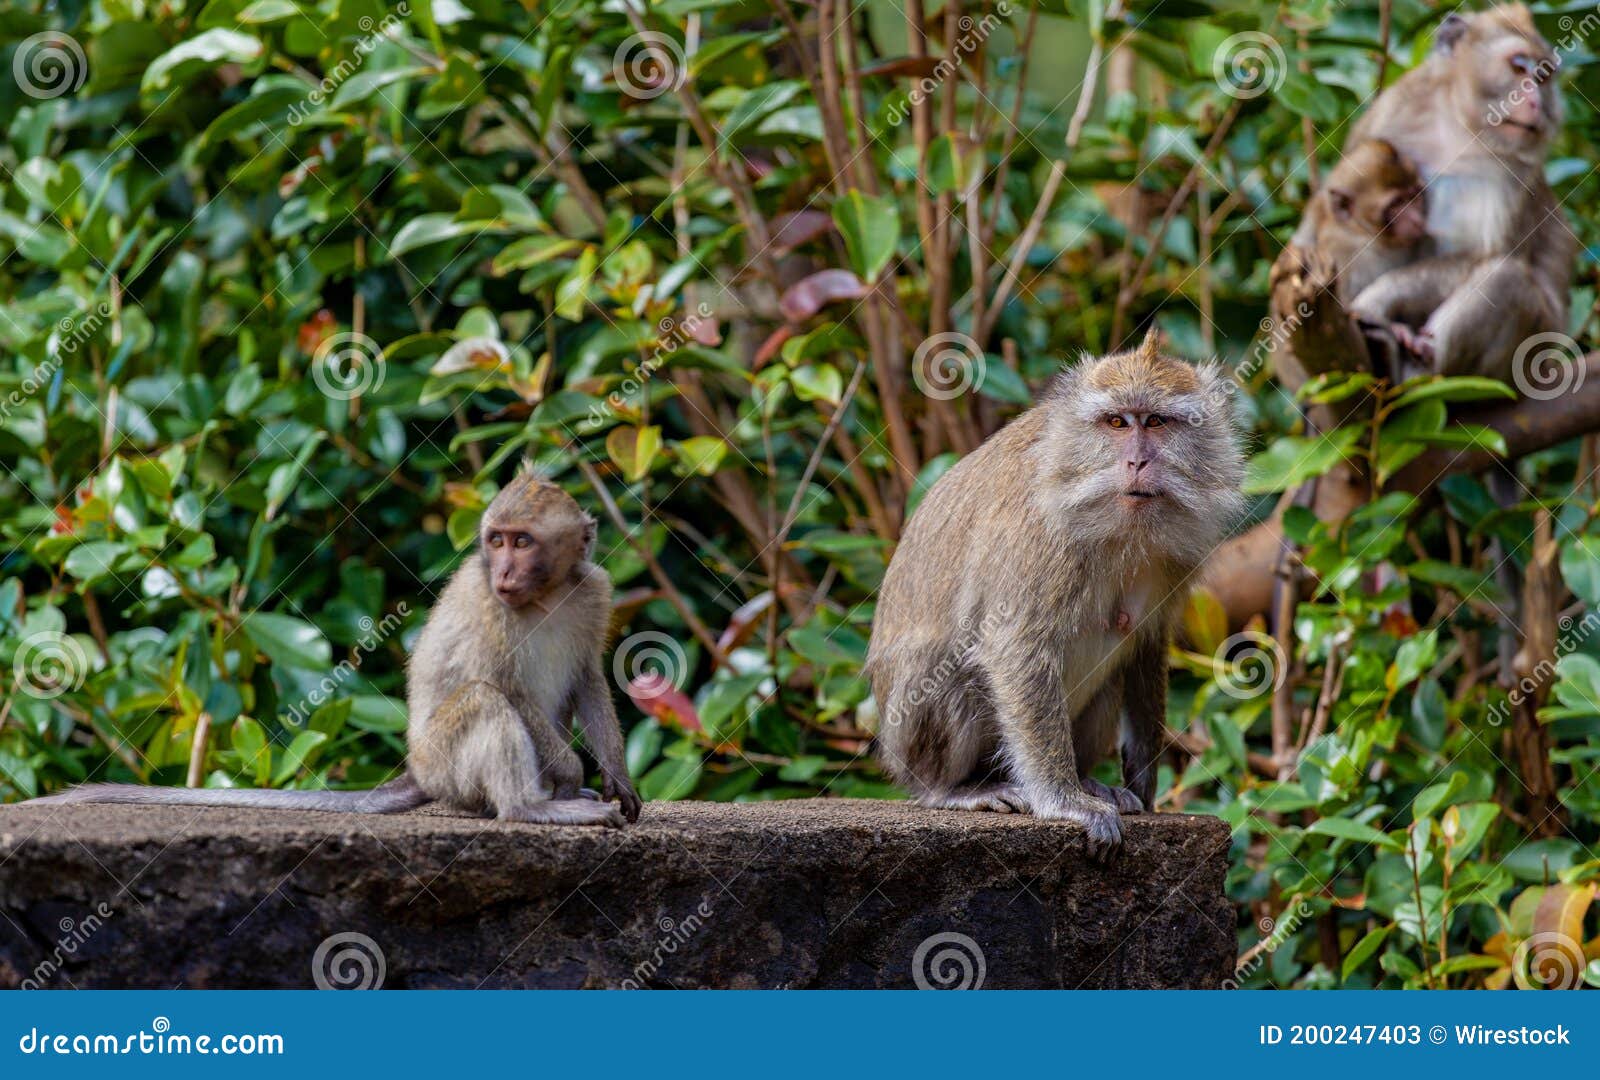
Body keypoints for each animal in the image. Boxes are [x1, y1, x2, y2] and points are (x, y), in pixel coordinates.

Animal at [27, 470, 643, 828]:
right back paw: (531, 808)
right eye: (496, 540)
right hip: (445, 767)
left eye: (523, 541)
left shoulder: (594, 591)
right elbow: (502, 684)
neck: (542, 595)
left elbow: (588, 676)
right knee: (481, 698)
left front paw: (617, 778)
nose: (506, 571)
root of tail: (418, 773)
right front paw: (572, 770)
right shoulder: (488, 602)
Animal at [865, 332, 1244, 859]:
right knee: (941, 665)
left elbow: (1146, 647)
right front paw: (1066, 803)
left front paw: (1143, 787)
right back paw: (954, 790)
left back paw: (1088, 779)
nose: (1137, 461)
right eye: (1117, 422)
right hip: (907, 740)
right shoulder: (1040, 539)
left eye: (1157, 422)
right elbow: (1014, 647)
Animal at [1345, 4, 1575, 378]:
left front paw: (1376, 299)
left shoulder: (1516, 172)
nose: (1537, 104)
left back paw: (1422, 364)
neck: (1459, 126)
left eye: (1542, 77)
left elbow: (1485, 253)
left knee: (1505, 277)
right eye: (1518, 66)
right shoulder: (1388, 116)